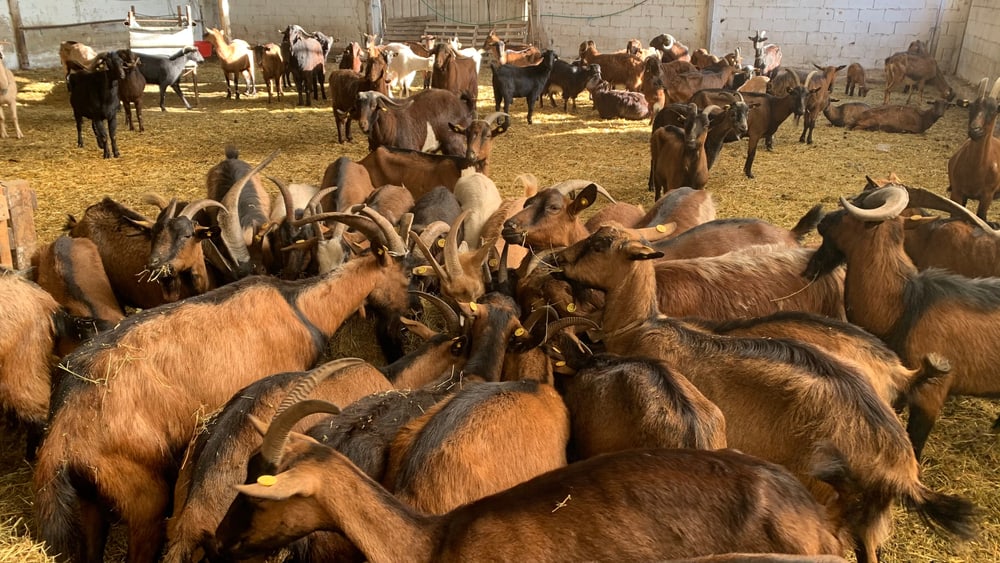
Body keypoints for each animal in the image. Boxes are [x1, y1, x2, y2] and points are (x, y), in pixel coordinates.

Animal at [32, 205, 415, 562]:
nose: (410, 313)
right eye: (405, 274)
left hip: (90, 504)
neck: (300, 308)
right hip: (142, 498)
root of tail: (60, 435)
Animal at [554, 224, 978, 561]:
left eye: (600, 244)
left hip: (828, 498)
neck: (643, 326)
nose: (558, 256)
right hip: (867, 517)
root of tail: (899, 463)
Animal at [947, 77, 1000, 220]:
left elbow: (981, 217)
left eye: (994, 111)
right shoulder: (957, 192)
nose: (975, 130)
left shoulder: (987, 197)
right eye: (971, 107)